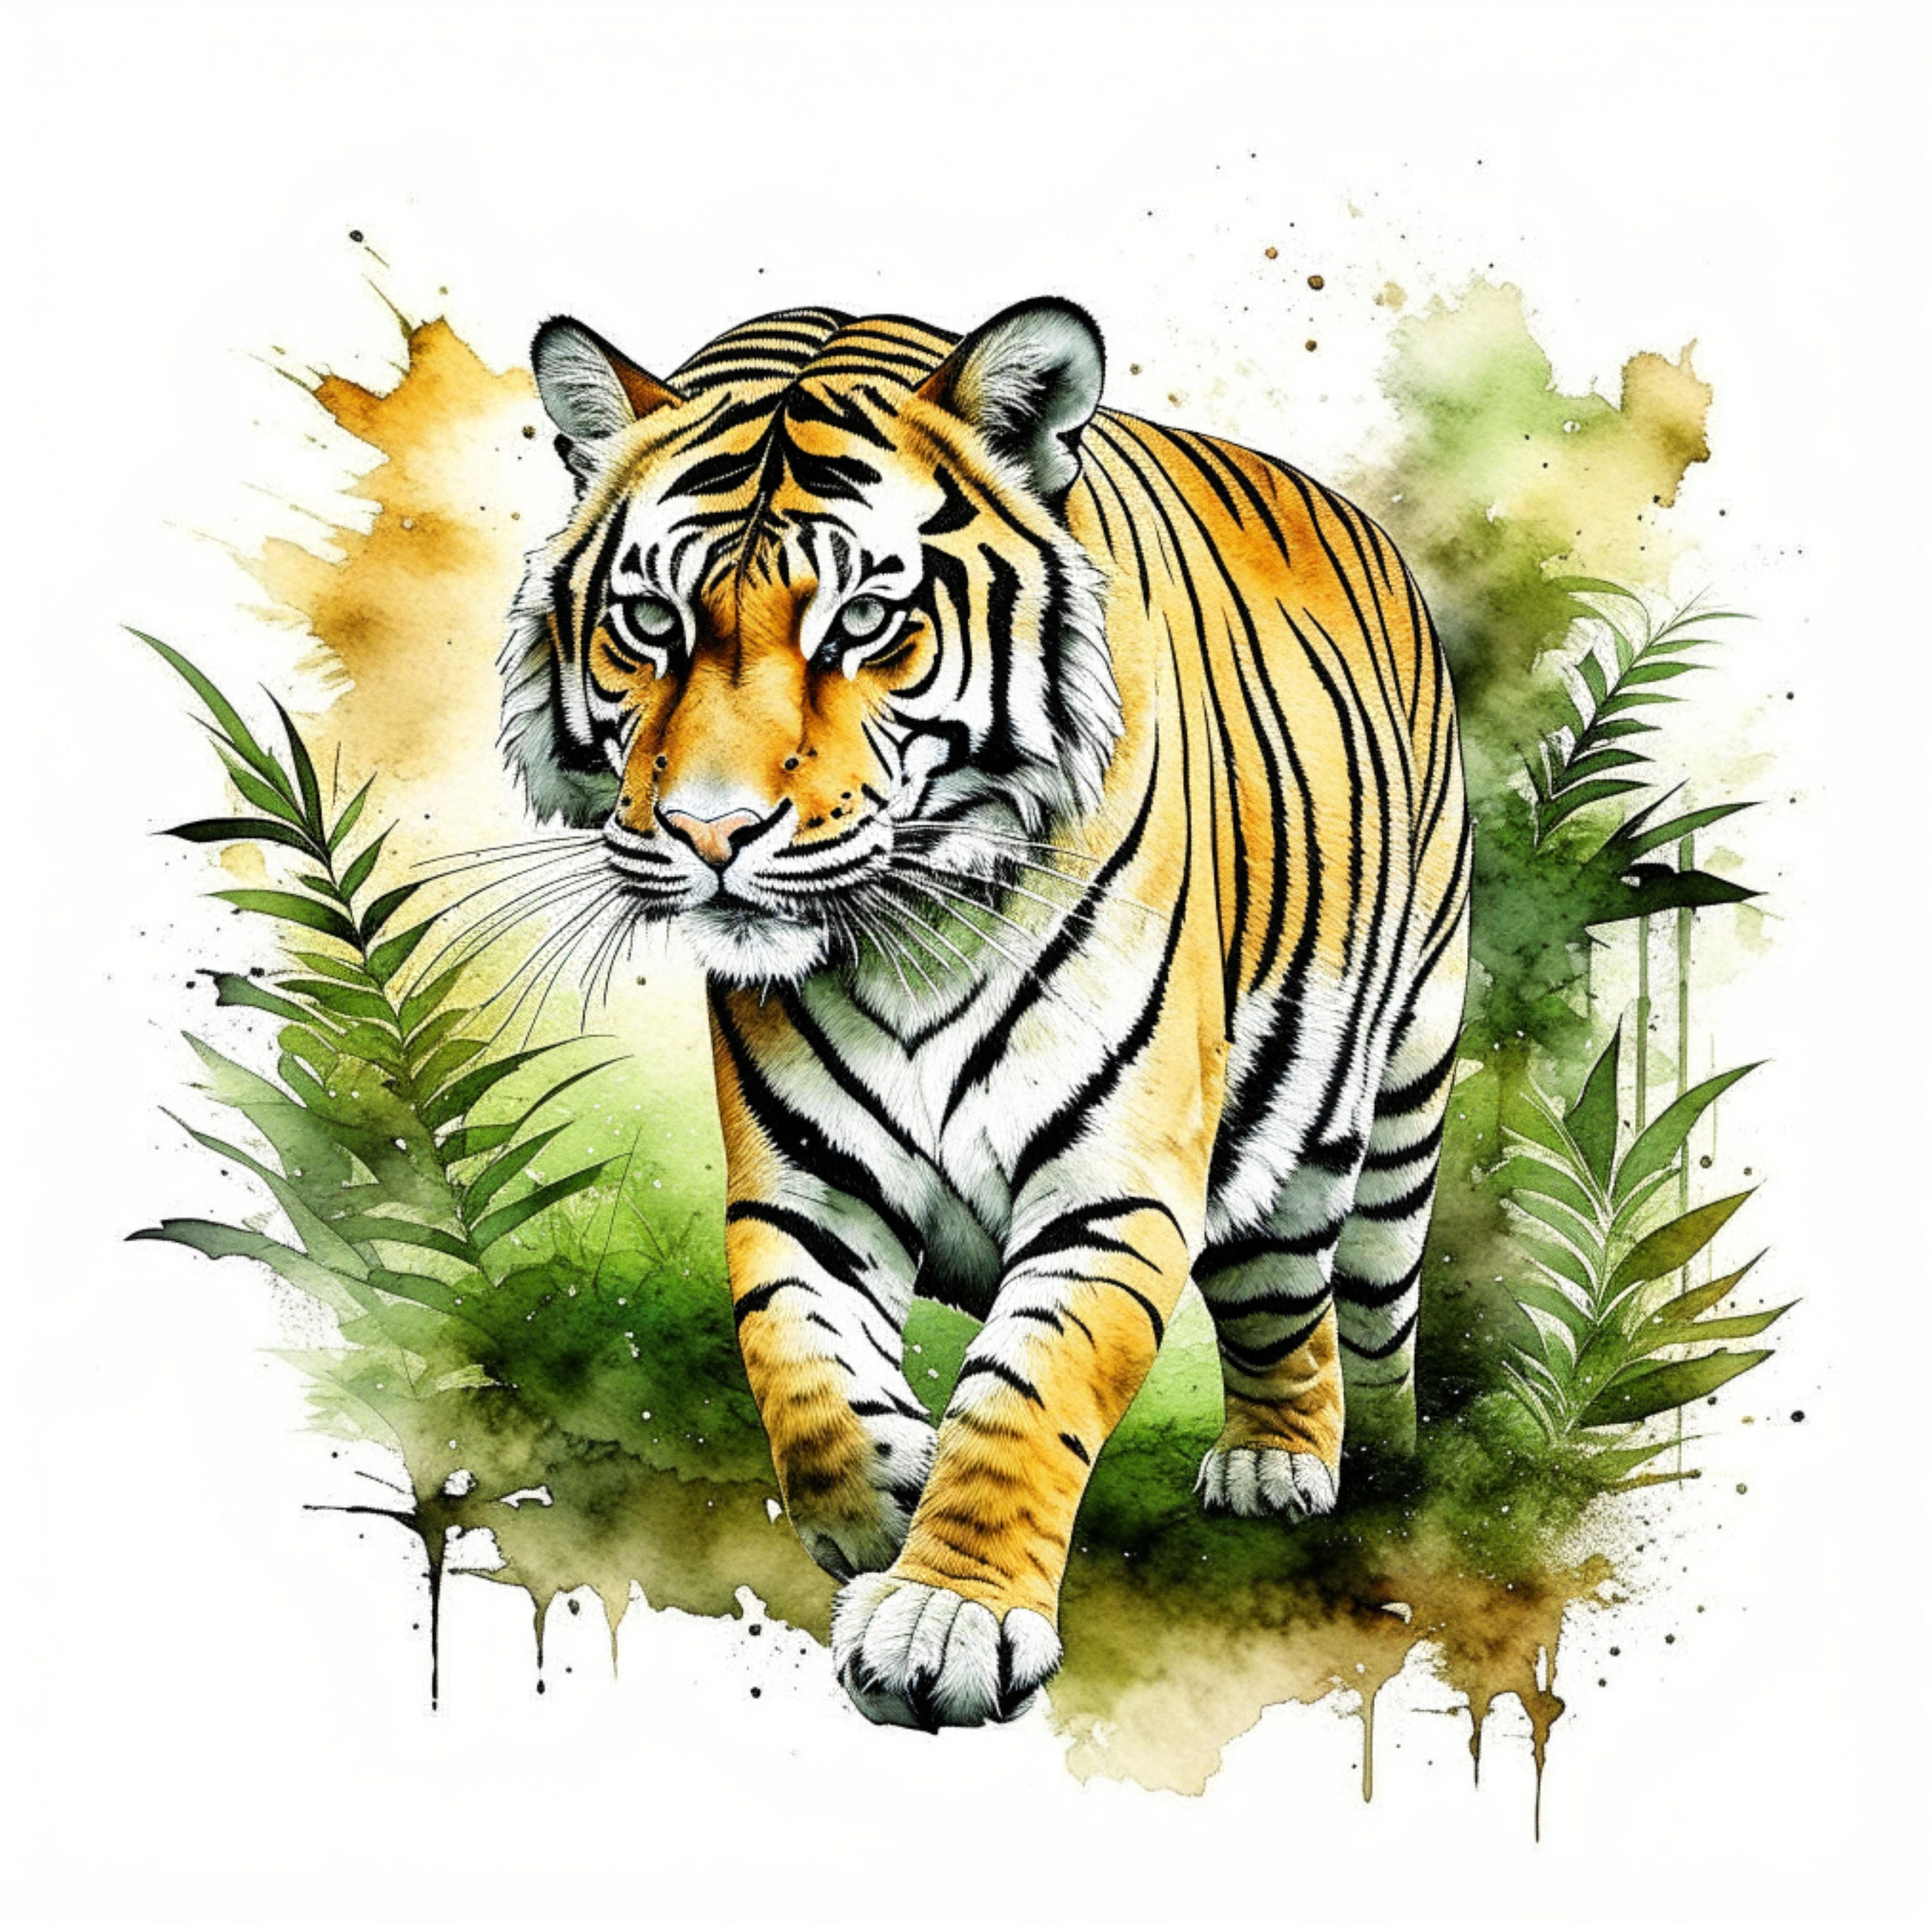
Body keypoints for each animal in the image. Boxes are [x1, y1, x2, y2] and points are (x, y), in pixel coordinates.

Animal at [498, 297, 1470, 1731]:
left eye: (860, 621)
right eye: (651, 622)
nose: (712, 834)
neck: (912, 931)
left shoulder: (1114, 1184)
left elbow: (1027, 1391)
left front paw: (948, 1617)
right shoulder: (805, 1185)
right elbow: (797, 1363)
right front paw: (884, 1487)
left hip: (1382, 1093)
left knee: (1308, 1297)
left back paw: (1294, 1465)